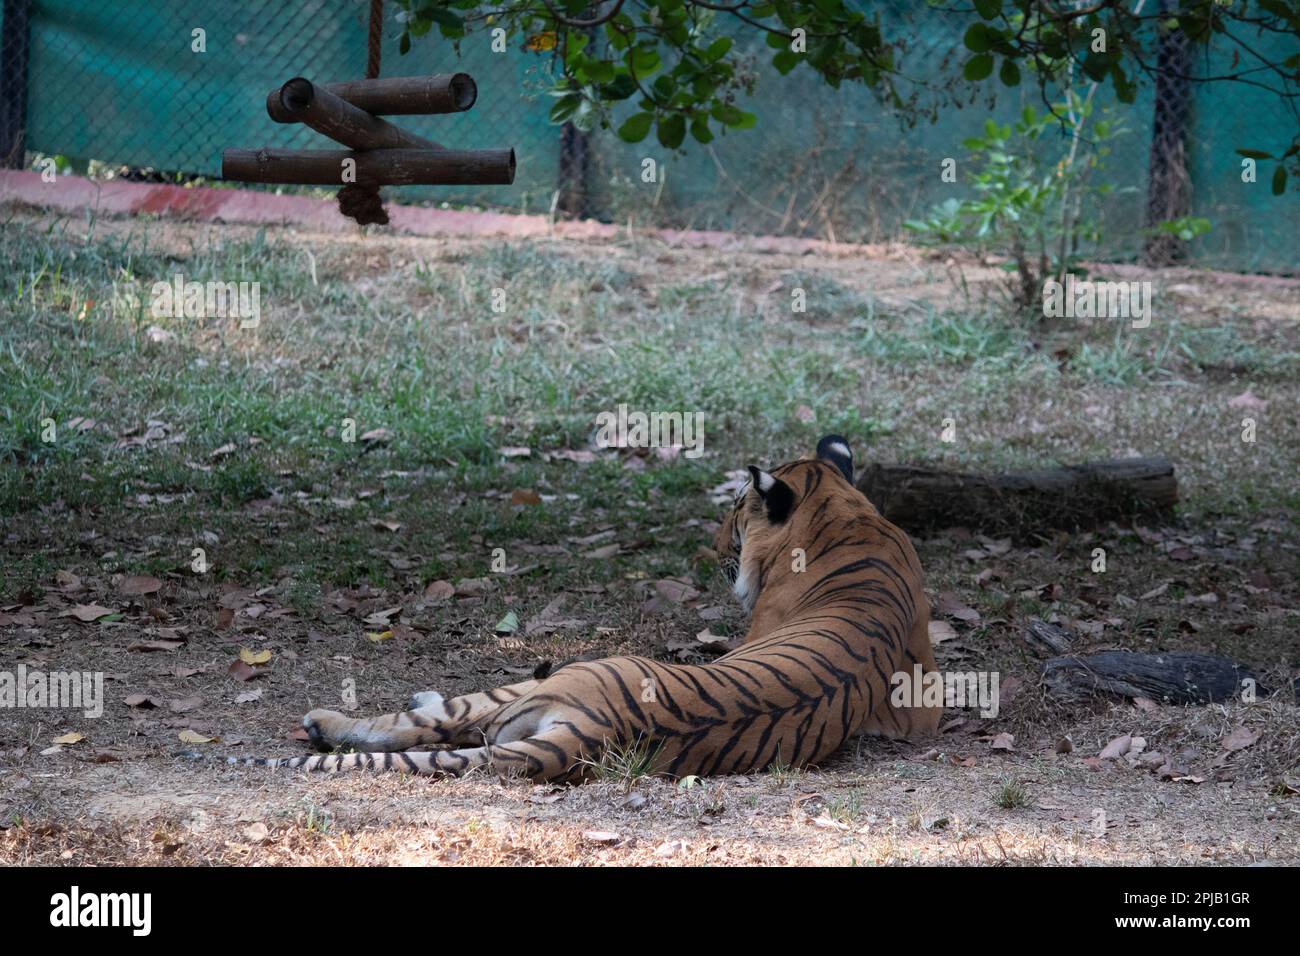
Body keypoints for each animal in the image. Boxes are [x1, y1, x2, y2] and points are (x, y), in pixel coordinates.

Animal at [223, 434, 942, 782]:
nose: (712, 548)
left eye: (733, 514)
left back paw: (329, 719)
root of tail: (599, 731)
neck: (847, 518)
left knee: (423, 725)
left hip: (543, 681)